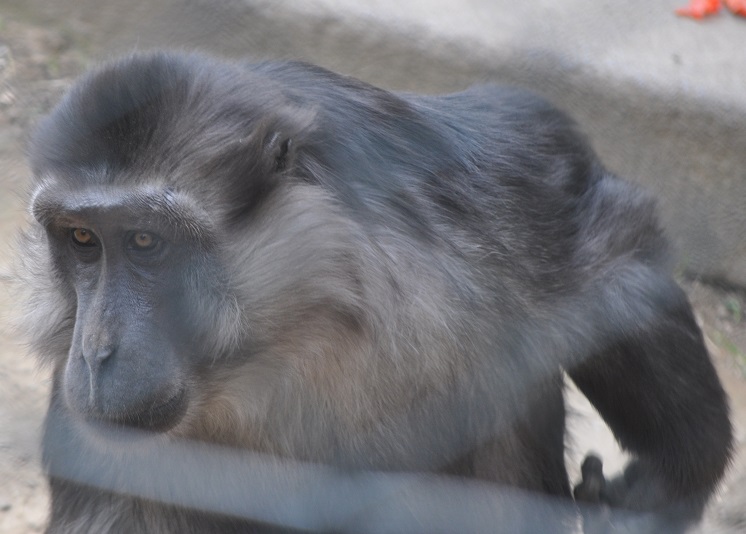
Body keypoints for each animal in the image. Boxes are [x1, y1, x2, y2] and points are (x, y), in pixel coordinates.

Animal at [17, 51, 732, 533]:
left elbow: (612, 243)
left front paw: (660, 490)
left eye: (144, 242)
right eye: (82, 240)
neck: (286, 340)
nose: (97, 353)